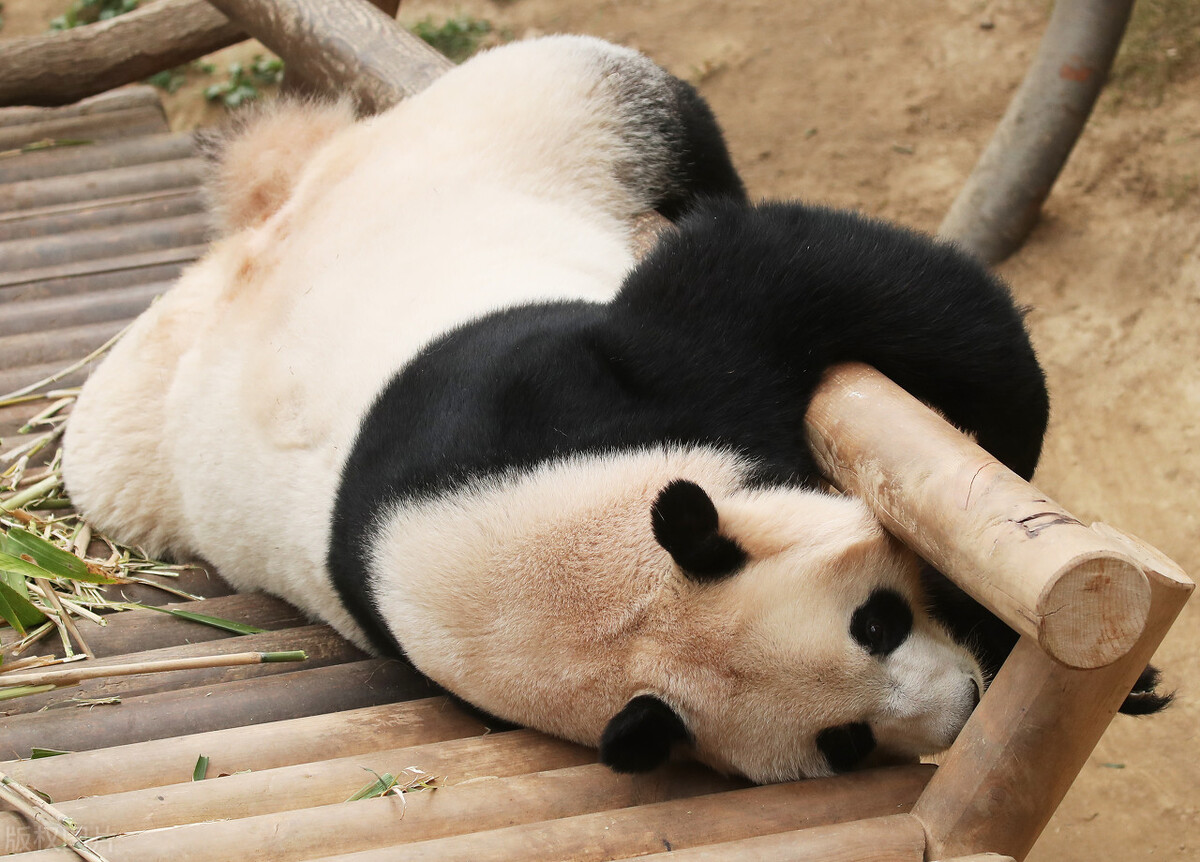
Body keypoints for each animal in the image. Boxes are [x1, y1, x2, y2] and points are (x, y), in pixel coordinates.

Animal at [61, 35, 1167, 785]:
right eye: (843, 741)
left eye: (877, 620)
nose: (964, 704)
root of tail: (271, 208)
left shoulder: (591, 389)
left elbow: (795, 273)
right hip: (141, 437)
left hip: (532, 113)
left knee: (653, 113)